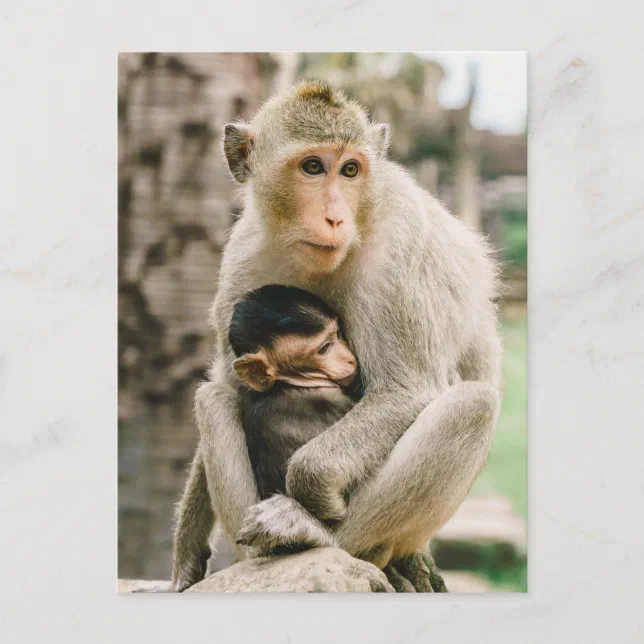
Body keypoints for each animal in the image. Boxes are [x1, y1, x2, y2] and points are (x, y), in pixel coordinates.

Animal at [171, 79, 501, 593]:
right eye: (312, 167)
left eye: (350, 170)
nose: (335, 218)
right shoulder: (245, 257)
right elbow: (230, 381)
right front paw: (186, 552)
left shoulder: (400, 250)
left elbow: (407, 389)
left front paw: (312, 490)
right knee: (213, 397)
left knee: (472, 406)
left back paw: (314, 533)